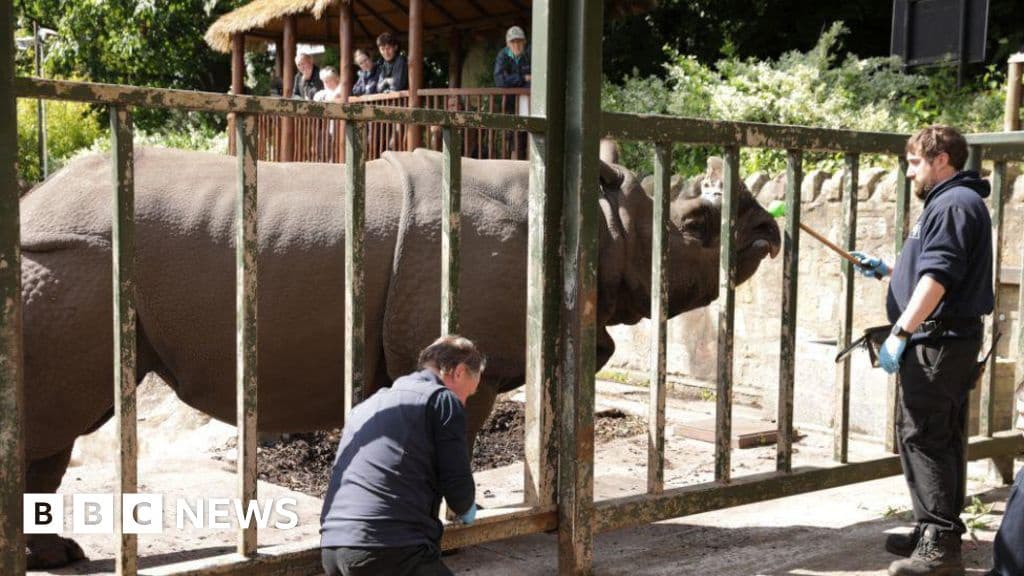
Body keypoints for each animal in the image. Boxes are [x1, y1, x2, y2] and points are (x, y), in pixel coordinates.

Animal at [17, 146, 780, 568]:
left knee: (52, 430)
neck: (606, 226)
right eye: (697, 228)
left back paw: (56, 556)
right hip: (73, 262)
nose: (768, 233)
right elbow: (459, 445)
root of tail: (31, 204)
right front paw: (453, 530)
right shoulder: (476, 361)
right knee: (58, 418)